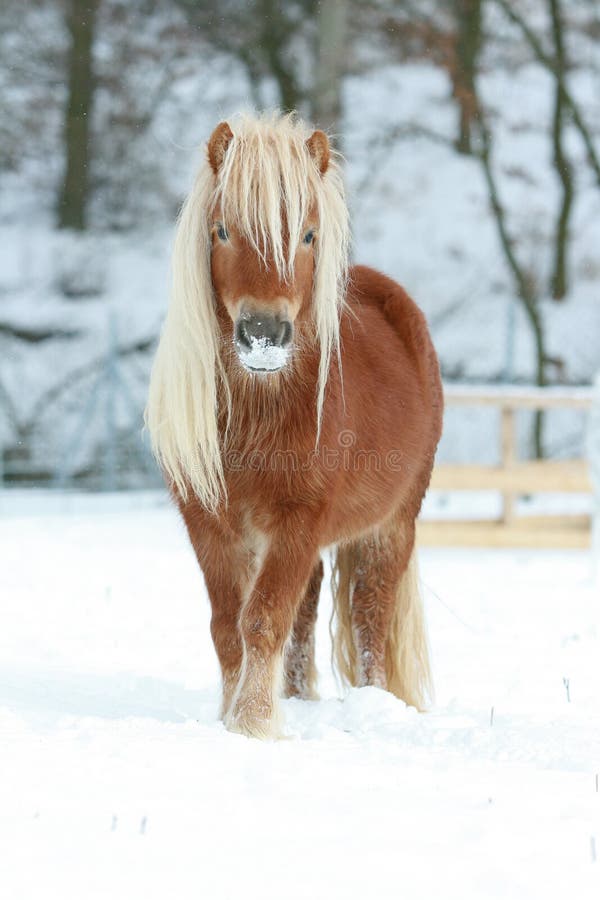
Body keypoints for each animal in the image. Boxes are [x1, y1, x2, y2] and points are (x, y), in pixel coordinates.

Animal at [146, 112, 443, 739]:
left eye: (307, 236)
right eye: (222, 230)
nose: (263, 333)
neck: (259, 412)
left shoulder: (299, 522)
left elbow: (262, 620)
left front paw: (252, 725)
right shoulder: (210, 524)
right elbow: (228, 627)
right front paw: (235, 715)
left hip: (390, 527)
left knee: (370, 613)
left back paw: (372, 702)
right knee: (307, 614)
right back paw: (299, 698)